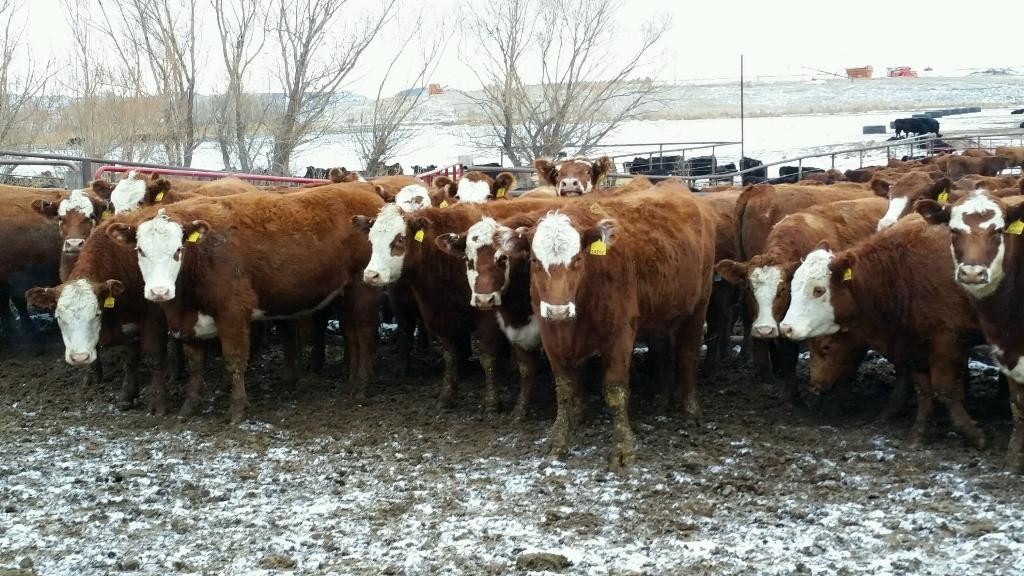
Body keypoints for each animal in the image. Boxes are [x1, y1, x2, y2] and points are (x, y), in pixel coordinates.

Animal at [104, 183, 384, 424]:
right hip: (344, 295)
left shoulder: (233, 312)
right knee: (352, 334)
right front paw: (189, 407)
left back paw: (362, 385)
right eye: (140, 250)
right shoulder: (189, 322)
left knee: (365, 332)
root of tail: (366, 190)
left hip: (363, 287)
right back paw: (351, 382)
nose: (159, 291)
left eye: (178, 251)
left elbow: (234, 360)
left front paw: (237, 409)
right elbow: (195, 364)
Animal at [495, 184, 716, 471]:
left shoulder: (619, 334)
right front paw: (558, 442)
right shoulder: (550, 335)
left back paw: (691, 410)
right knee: (663, 352)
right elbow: (564, 391)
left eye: (578, 258)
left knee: (688, 355)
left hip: (698, 306)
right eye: (533, 260)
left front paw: (623, 449)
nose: (558, 310)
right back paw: (663, 399)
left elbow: (615, 390)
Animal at [716, 196, 887, 401]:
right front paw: (791, 394)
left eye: (782, 289)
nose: (764, 330)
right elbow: (787, 354)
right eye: (749, 288)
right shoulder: (784, 321)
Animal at [778, 215, 986, 450]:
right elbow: (924, 389)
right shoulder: (916, 345)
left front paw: (972, 433)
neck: (899, 271)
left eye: (819, 290)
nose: (786, 327)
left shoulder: (947, 342)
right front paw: (919, 433)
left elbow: (944, 389)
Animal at [916, 191, 1024, 470]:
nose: (972, 273)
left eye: (998, 231)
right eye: (954, 230)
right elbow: (1018, 405)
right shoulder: (1007, 351)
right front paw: (1014, 459)